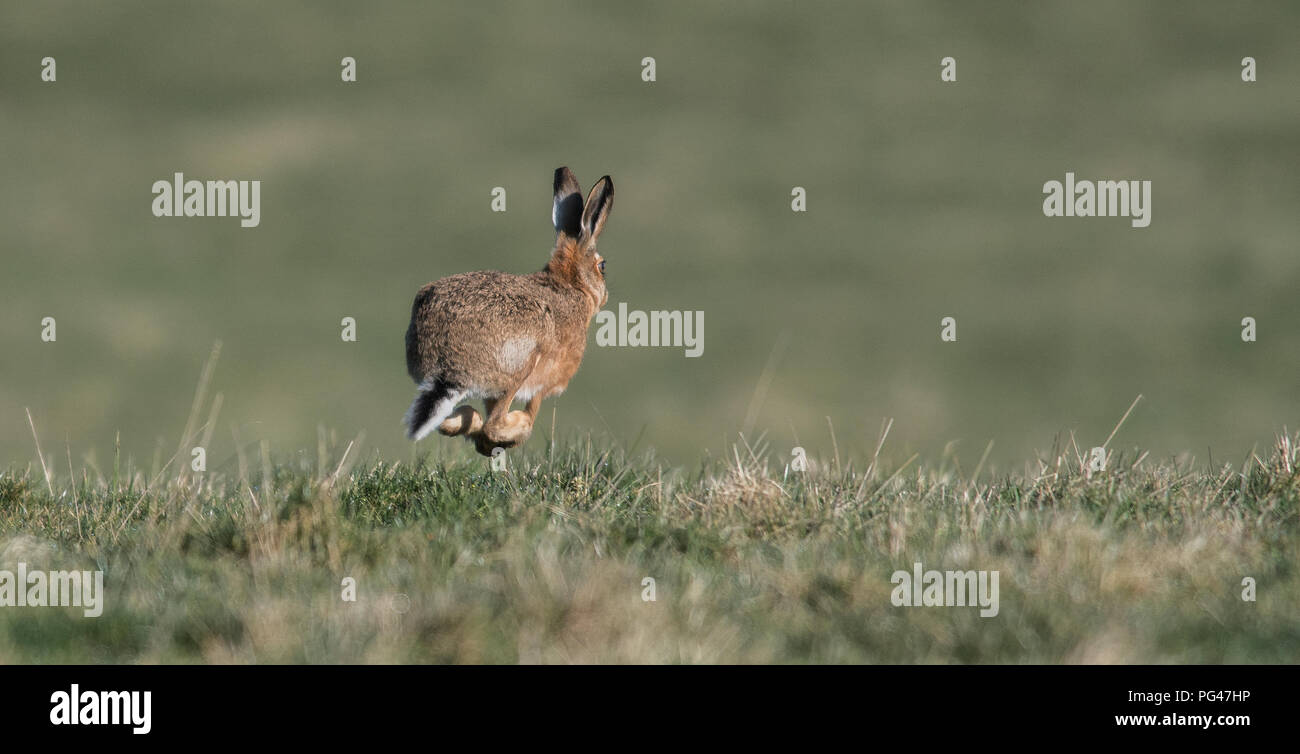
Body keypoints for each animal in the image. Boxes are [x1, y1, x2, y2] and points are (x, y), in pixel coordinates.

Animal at [403, 167, 613, 456]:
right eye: (602, 266)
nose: (605, 295)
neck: (570, 284)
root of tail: (450, 364)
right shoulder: (543, 382)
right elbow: (530, 409)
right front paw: (515, 429)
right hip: (519, 368)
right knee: (494, 422)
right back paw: (507, 428)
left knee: (449, 422)